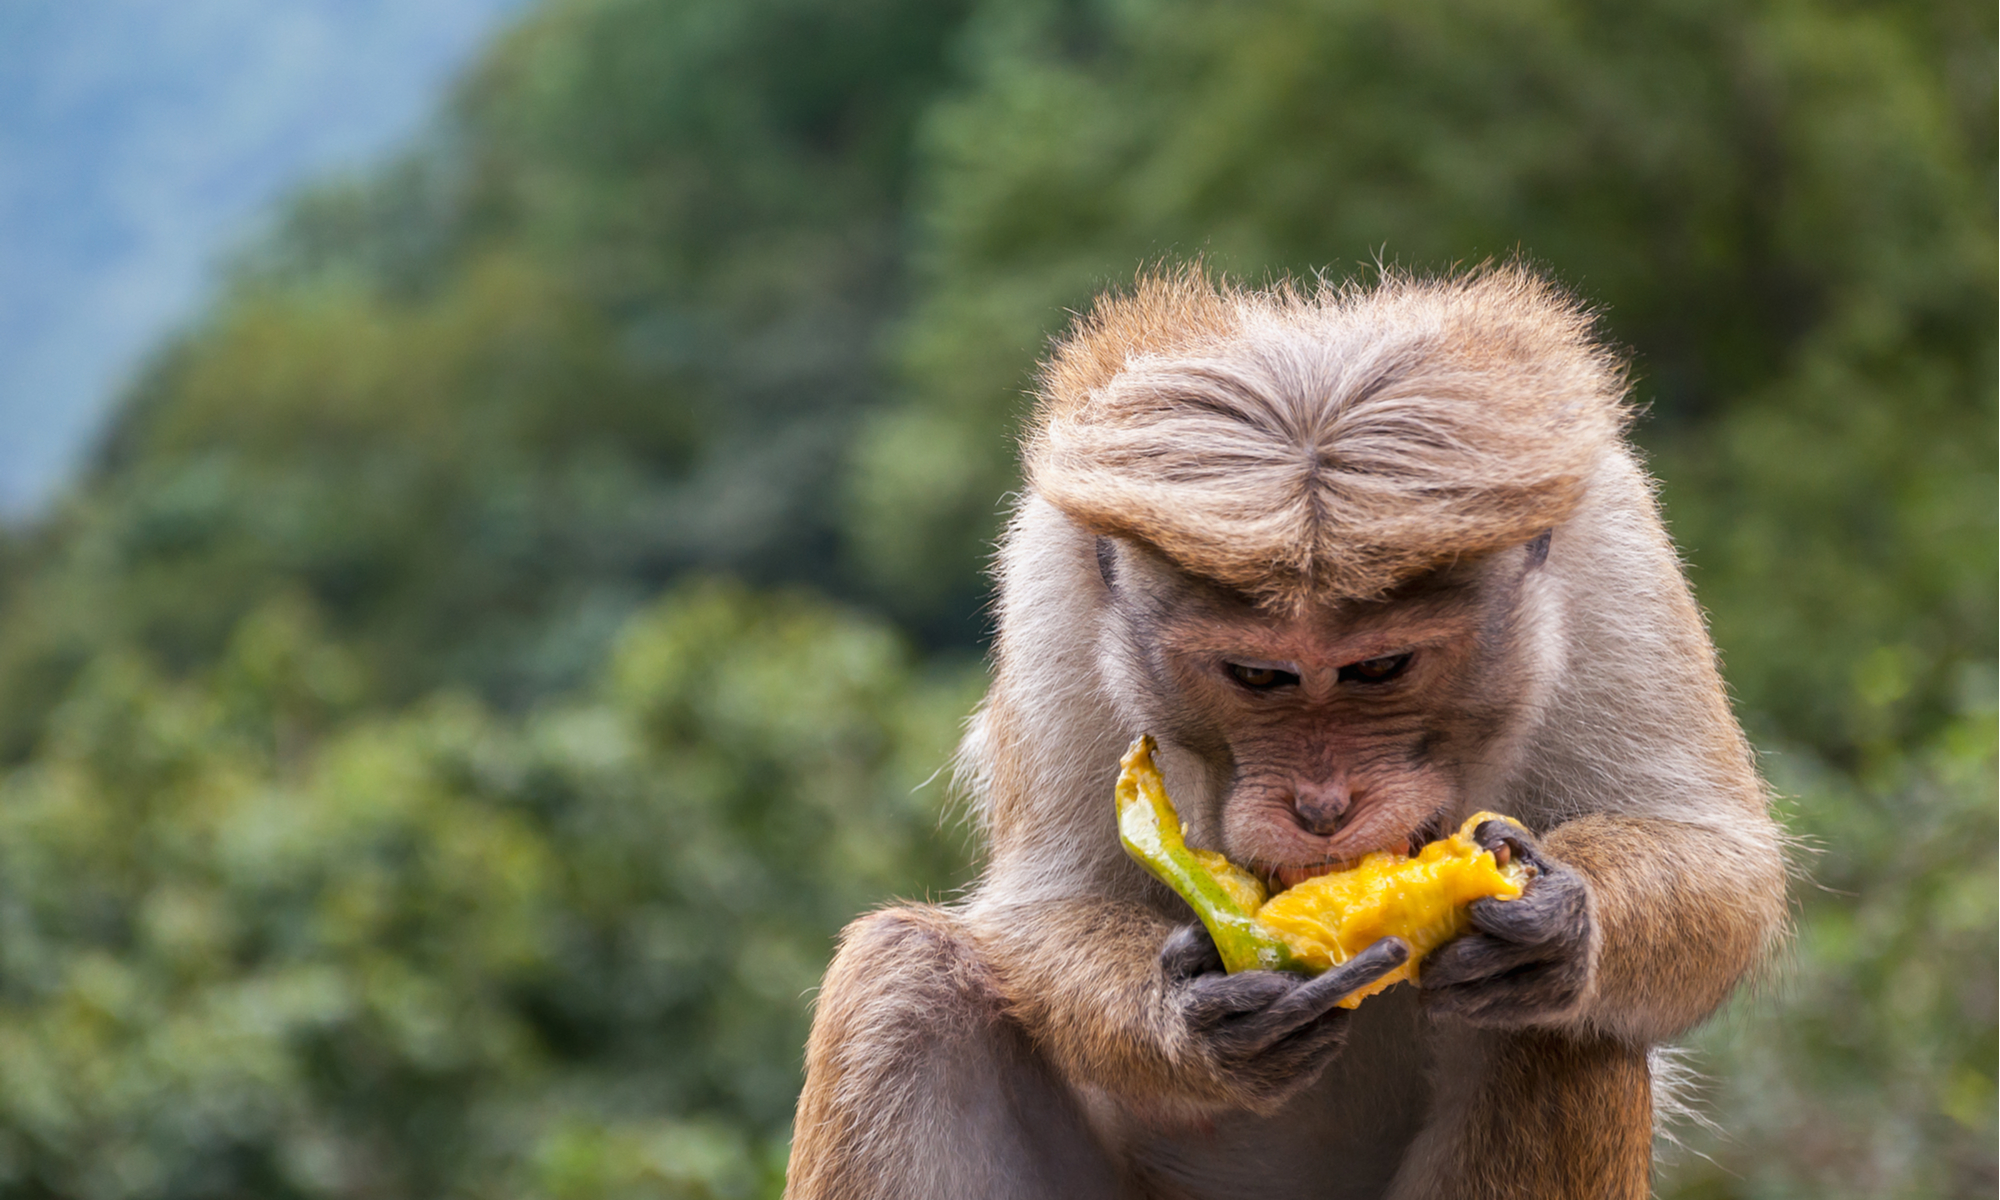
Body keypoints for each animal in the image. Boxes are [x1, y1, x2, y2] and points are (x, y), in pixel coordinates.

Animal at [786, 266, 1787, 1200]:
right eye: (1259, 675)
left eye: (1379, 668)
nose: (1322, 807)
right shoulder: (1050, 581)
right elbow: (1045, 904)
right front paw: (1193, 1017)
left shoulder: (1614, 540)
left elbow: (1721, 859)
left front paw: (1556, 924)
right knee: (905, 976)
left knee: (1553, 1033)